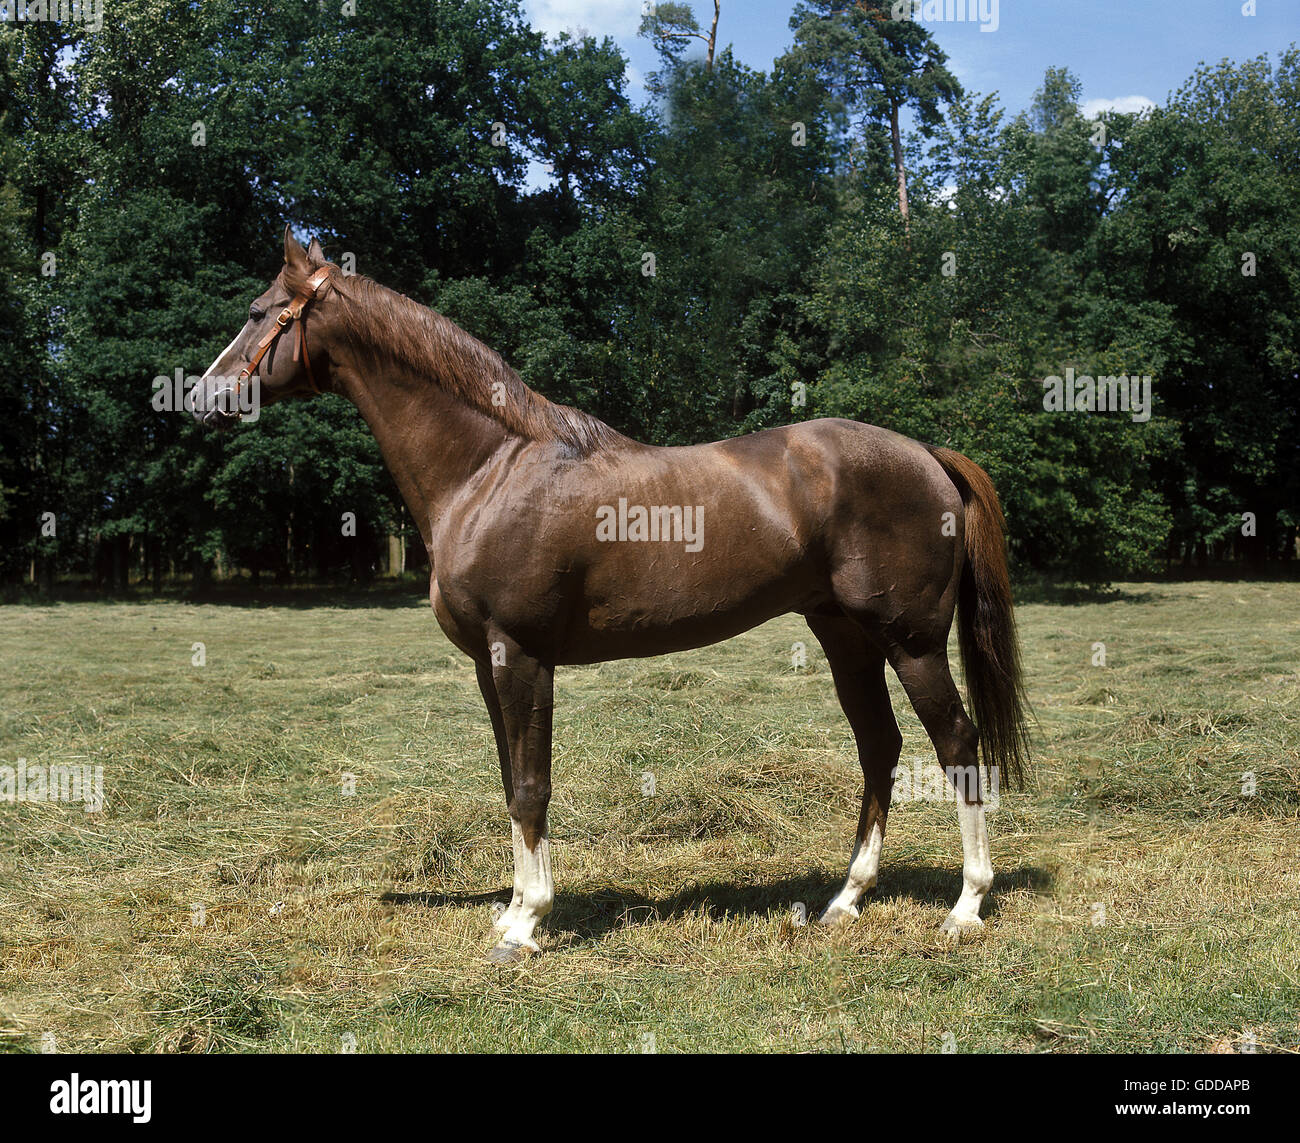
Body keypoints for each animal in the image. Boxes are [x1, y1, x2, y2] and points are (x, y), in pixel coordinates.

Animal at [189, 226, 1031, 963]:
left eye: (261, 312)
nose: (197, 397)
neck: (491, 467)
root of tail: (927, 452)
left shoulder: (523, 655)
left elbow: (531, 786)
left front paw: (527, 924)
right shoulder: (489, 664)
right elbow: (511, 783)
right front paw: (511, 908)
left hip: (911, 643)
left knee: (957, 745)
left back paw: (966, 906)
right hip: (845, 637)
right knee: (879, 747)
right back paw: (846, 899)